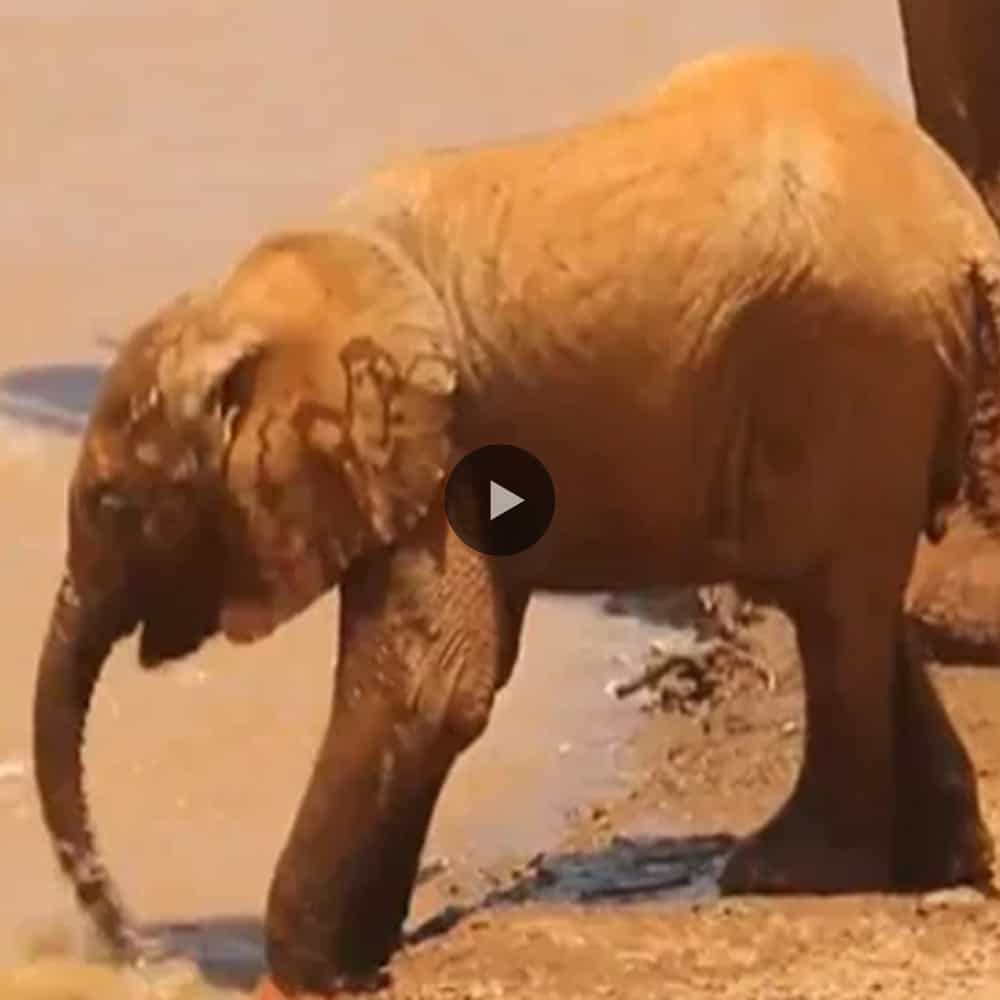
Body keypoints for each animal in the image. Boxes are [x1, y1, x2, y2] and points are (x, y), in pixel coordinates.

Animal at [31, 46, 1000, 996]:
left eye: (113, 505)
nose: (138, 950)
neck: (260, 297)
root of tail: (962, 224)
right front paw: (362, 959)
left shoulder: (441, 443)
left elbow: (428, 686)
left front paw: (309, 978)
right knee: (852, 600)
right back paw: (937, 864)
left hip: (848, 362)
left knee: (827, 605)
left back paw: (782, 873)